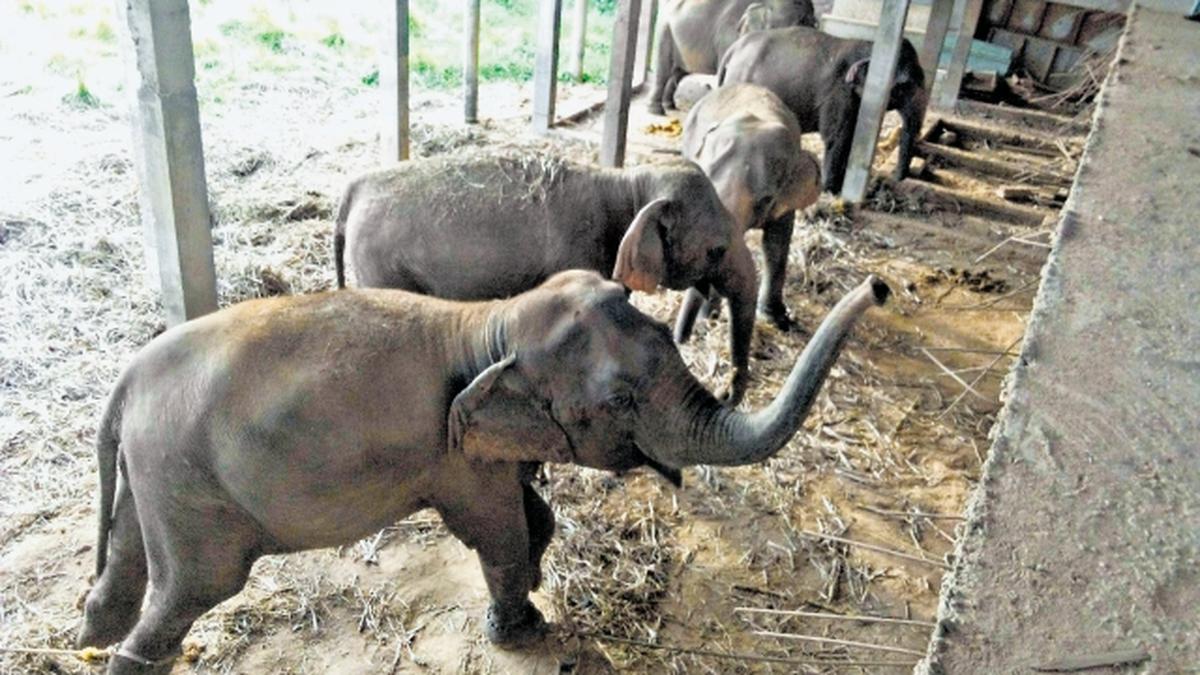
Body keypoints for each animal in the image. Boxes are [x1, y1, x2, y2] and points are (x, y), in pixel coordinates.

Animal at [76, 269, 889, 673]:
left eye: (667, 332)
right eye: (619, 401)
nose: (880, 290)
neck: (490, 320)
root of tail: (126, 382)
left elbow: (536, 515)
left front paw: (531, 586)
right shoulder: (455, 448)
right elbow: (496, 526)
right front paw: (524, 630)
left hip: (153, 474)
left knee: (129, 555)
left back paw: (90, 631)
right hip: (190, 486)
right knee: (195, 588)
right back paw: (126, 658)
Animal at [334, 152, 759, 403]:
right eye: (716, 250)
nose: (725, 392)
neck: (626, 180)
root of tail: (354, 187)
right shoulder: (577, 256)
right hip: (383, 267)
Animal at [648, 0, 816, 115]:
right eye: (795, 27)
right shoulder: (728, 35)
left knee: (678, 72)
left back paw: (670, 106)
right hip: (665, 30)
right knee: (663, 70)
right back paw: (657, 111)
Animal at [676, 83, 821, 342]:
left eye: (766, 200)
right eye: (706, 181)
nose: (680, 341)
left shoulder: (784, 202)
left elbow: (776, 245)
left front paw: (779, 320)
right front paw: (708, 320)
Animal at [718, 26, 928, 194]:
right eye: (904, 87)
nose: (894, 178)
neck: (873, 46)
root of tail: (733, 49)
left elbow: (850, 136)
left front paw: (838, 188)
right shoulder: (838, 92)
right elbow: (837, 137)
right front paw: (830, 191)